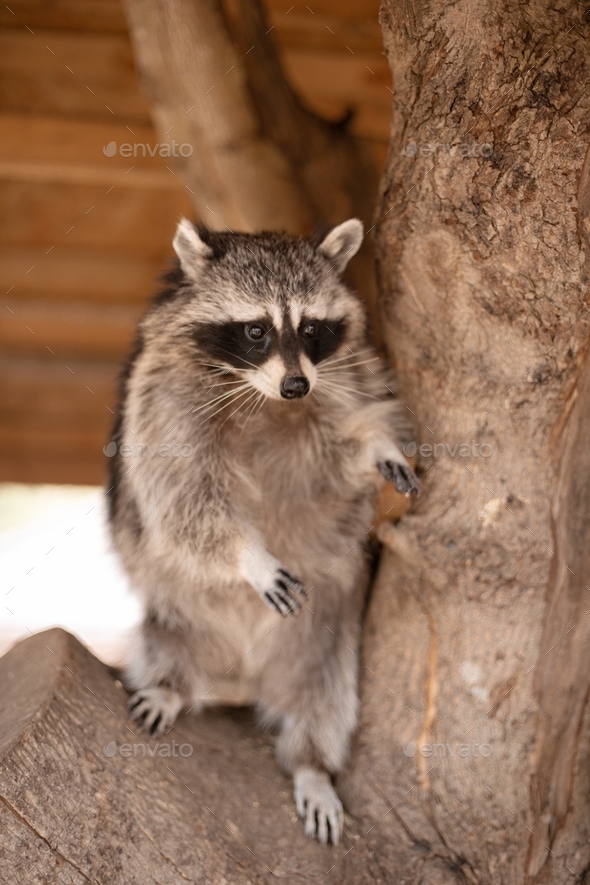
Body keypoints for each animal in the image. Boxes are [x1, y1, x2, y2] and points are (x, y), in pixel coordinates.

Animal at [108, 217, 418, 845]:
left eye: (311, 328)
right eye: (256, 330)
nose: (296, 385)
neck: (262, 394)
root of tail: (244, 674)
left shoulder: (341, 380)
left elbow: (346, 445)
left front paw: (377, 445)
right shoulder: (163, 401)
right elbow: (181, 500)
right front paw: (247, 554)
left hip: (324, 643)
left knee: (326, 701)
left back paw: (312, 765)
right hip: (178, 615)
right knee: (169, 641)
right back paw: (174, 684)